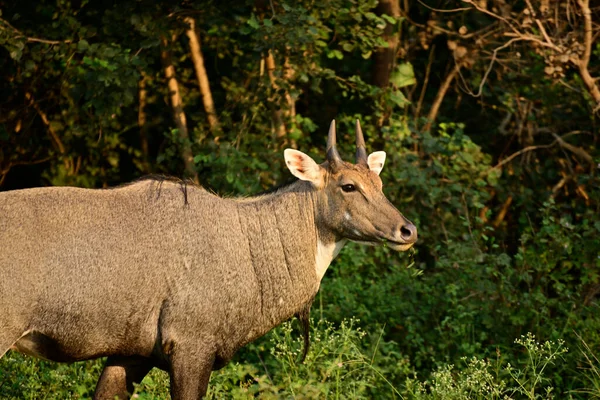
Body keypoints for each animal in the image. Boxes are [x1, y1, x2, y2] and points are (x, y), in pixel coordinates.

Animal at [1, 120, 418, 398]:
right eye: (348, 185)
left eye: (379, 183)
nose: (407, 230)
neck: (249, 245)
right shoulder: (191, 345)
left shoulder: (131, 353)